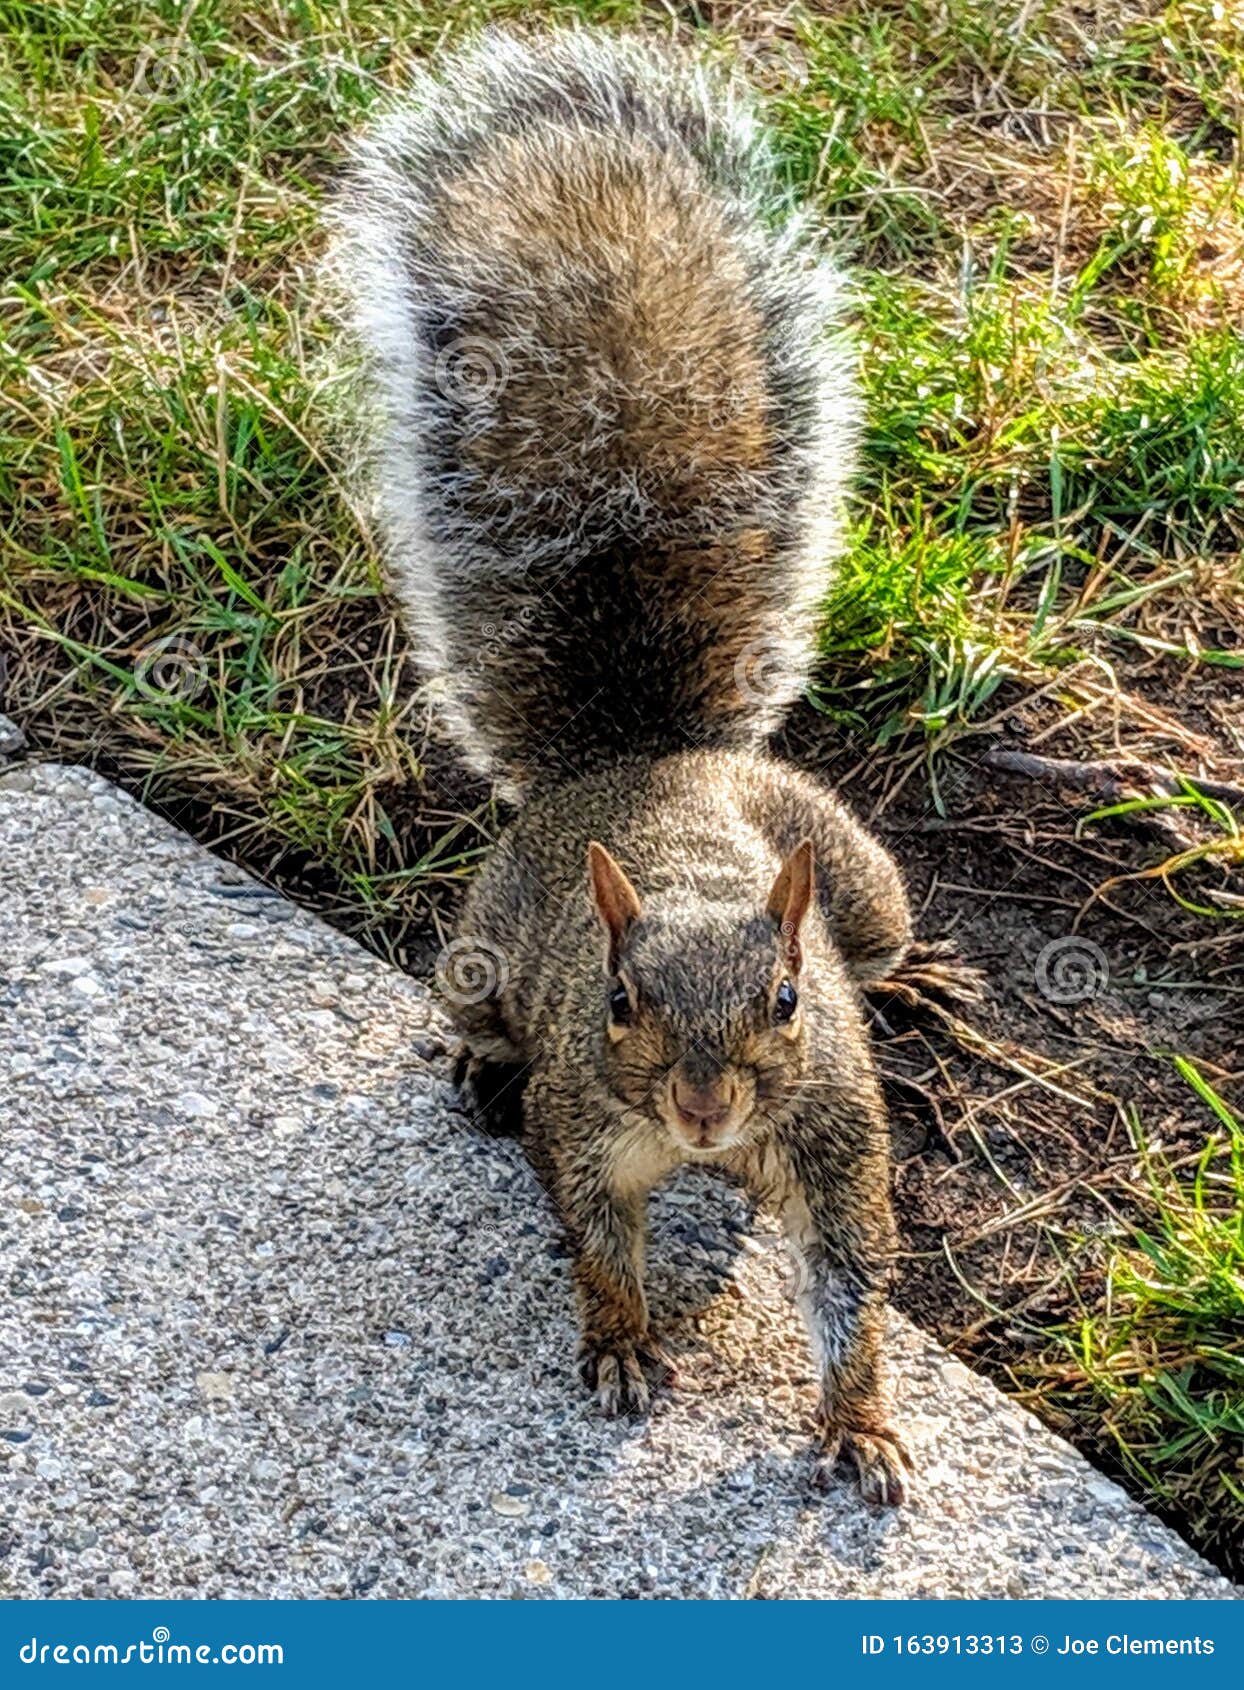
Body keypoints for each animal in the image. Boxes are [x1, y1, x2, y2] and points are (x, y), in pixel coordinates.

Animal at [331, 28, 914, 1504]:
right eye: (615, 1000)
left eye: (786, 998)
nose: (702, 1106)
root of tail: (644, 761)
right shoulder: (587, 1128)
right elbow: (596, 1241)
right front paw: (621, 1344)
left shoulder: (836, 1143)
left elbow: (852, 1281)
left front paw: (862, 1421)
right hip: (477, 946)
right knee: (477, 1015)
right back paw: (478, 1066)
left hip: (867, 883)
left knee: (888, 928)